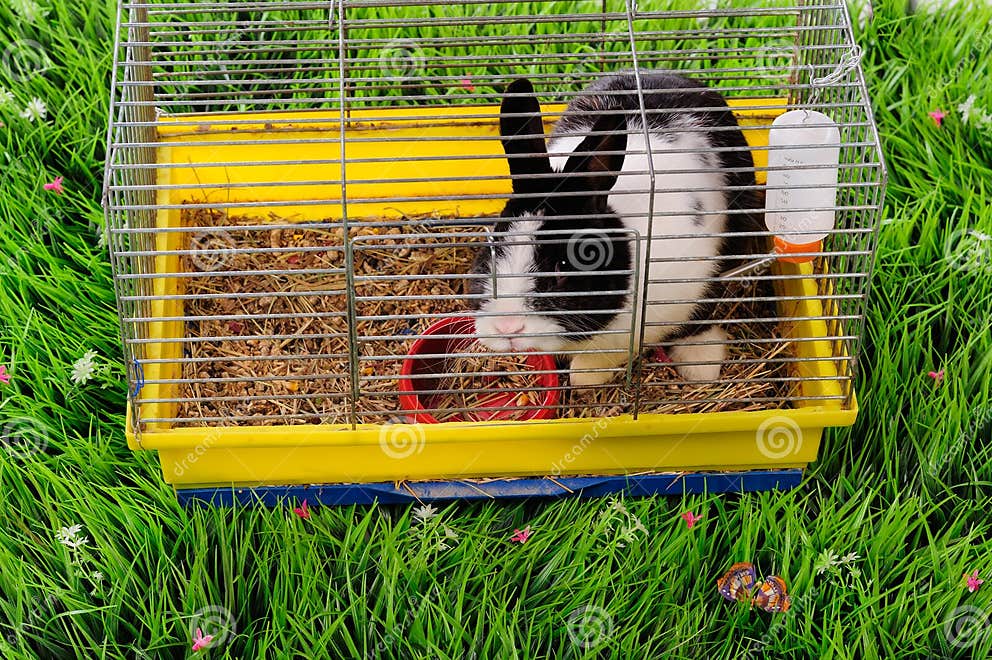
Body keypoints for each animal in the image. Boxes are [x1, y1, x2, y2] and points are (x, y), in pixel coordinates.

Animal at [469, 72, 760, 388]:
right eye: (490, 253)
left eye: (563, 267)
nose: (507, 327)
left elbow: (608, 355)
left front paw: (585, 377)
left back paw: (701, 365)